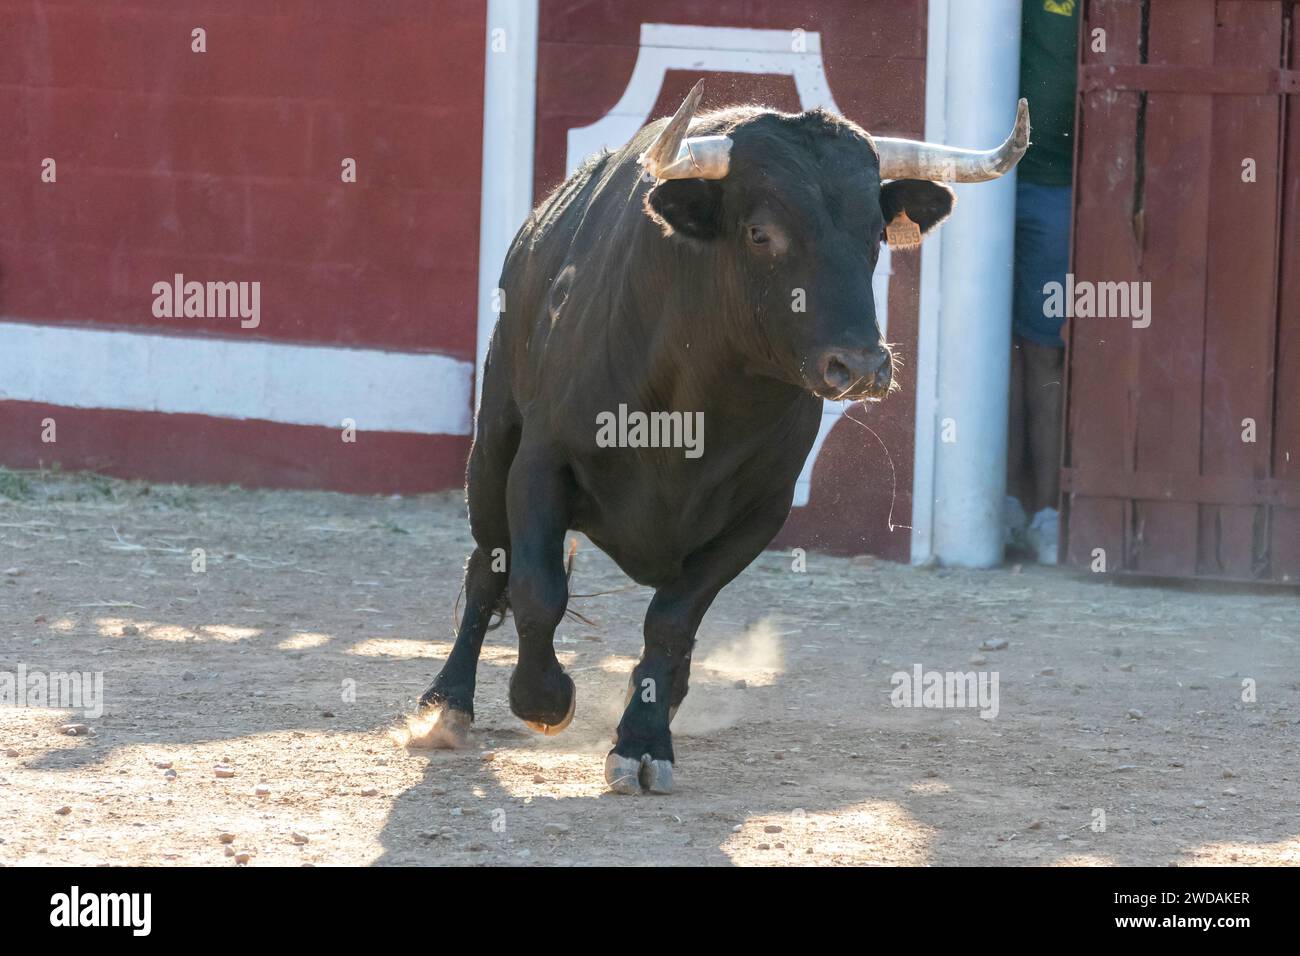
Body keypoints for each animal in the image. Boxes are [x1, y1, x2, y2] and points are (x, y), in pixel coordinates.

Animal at [414, 82, 1029, 794]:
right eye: (761, 232)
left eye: (877, 233)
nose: (861, 366)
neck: (700, 398)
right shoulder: (540, 463)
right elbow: (537, 589)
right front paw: (544, 700)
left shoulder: (759, 512)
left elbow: (673, 620)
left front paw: (643, 742)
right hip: (491, 448)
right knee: (487, 568)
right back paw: (445, 707)